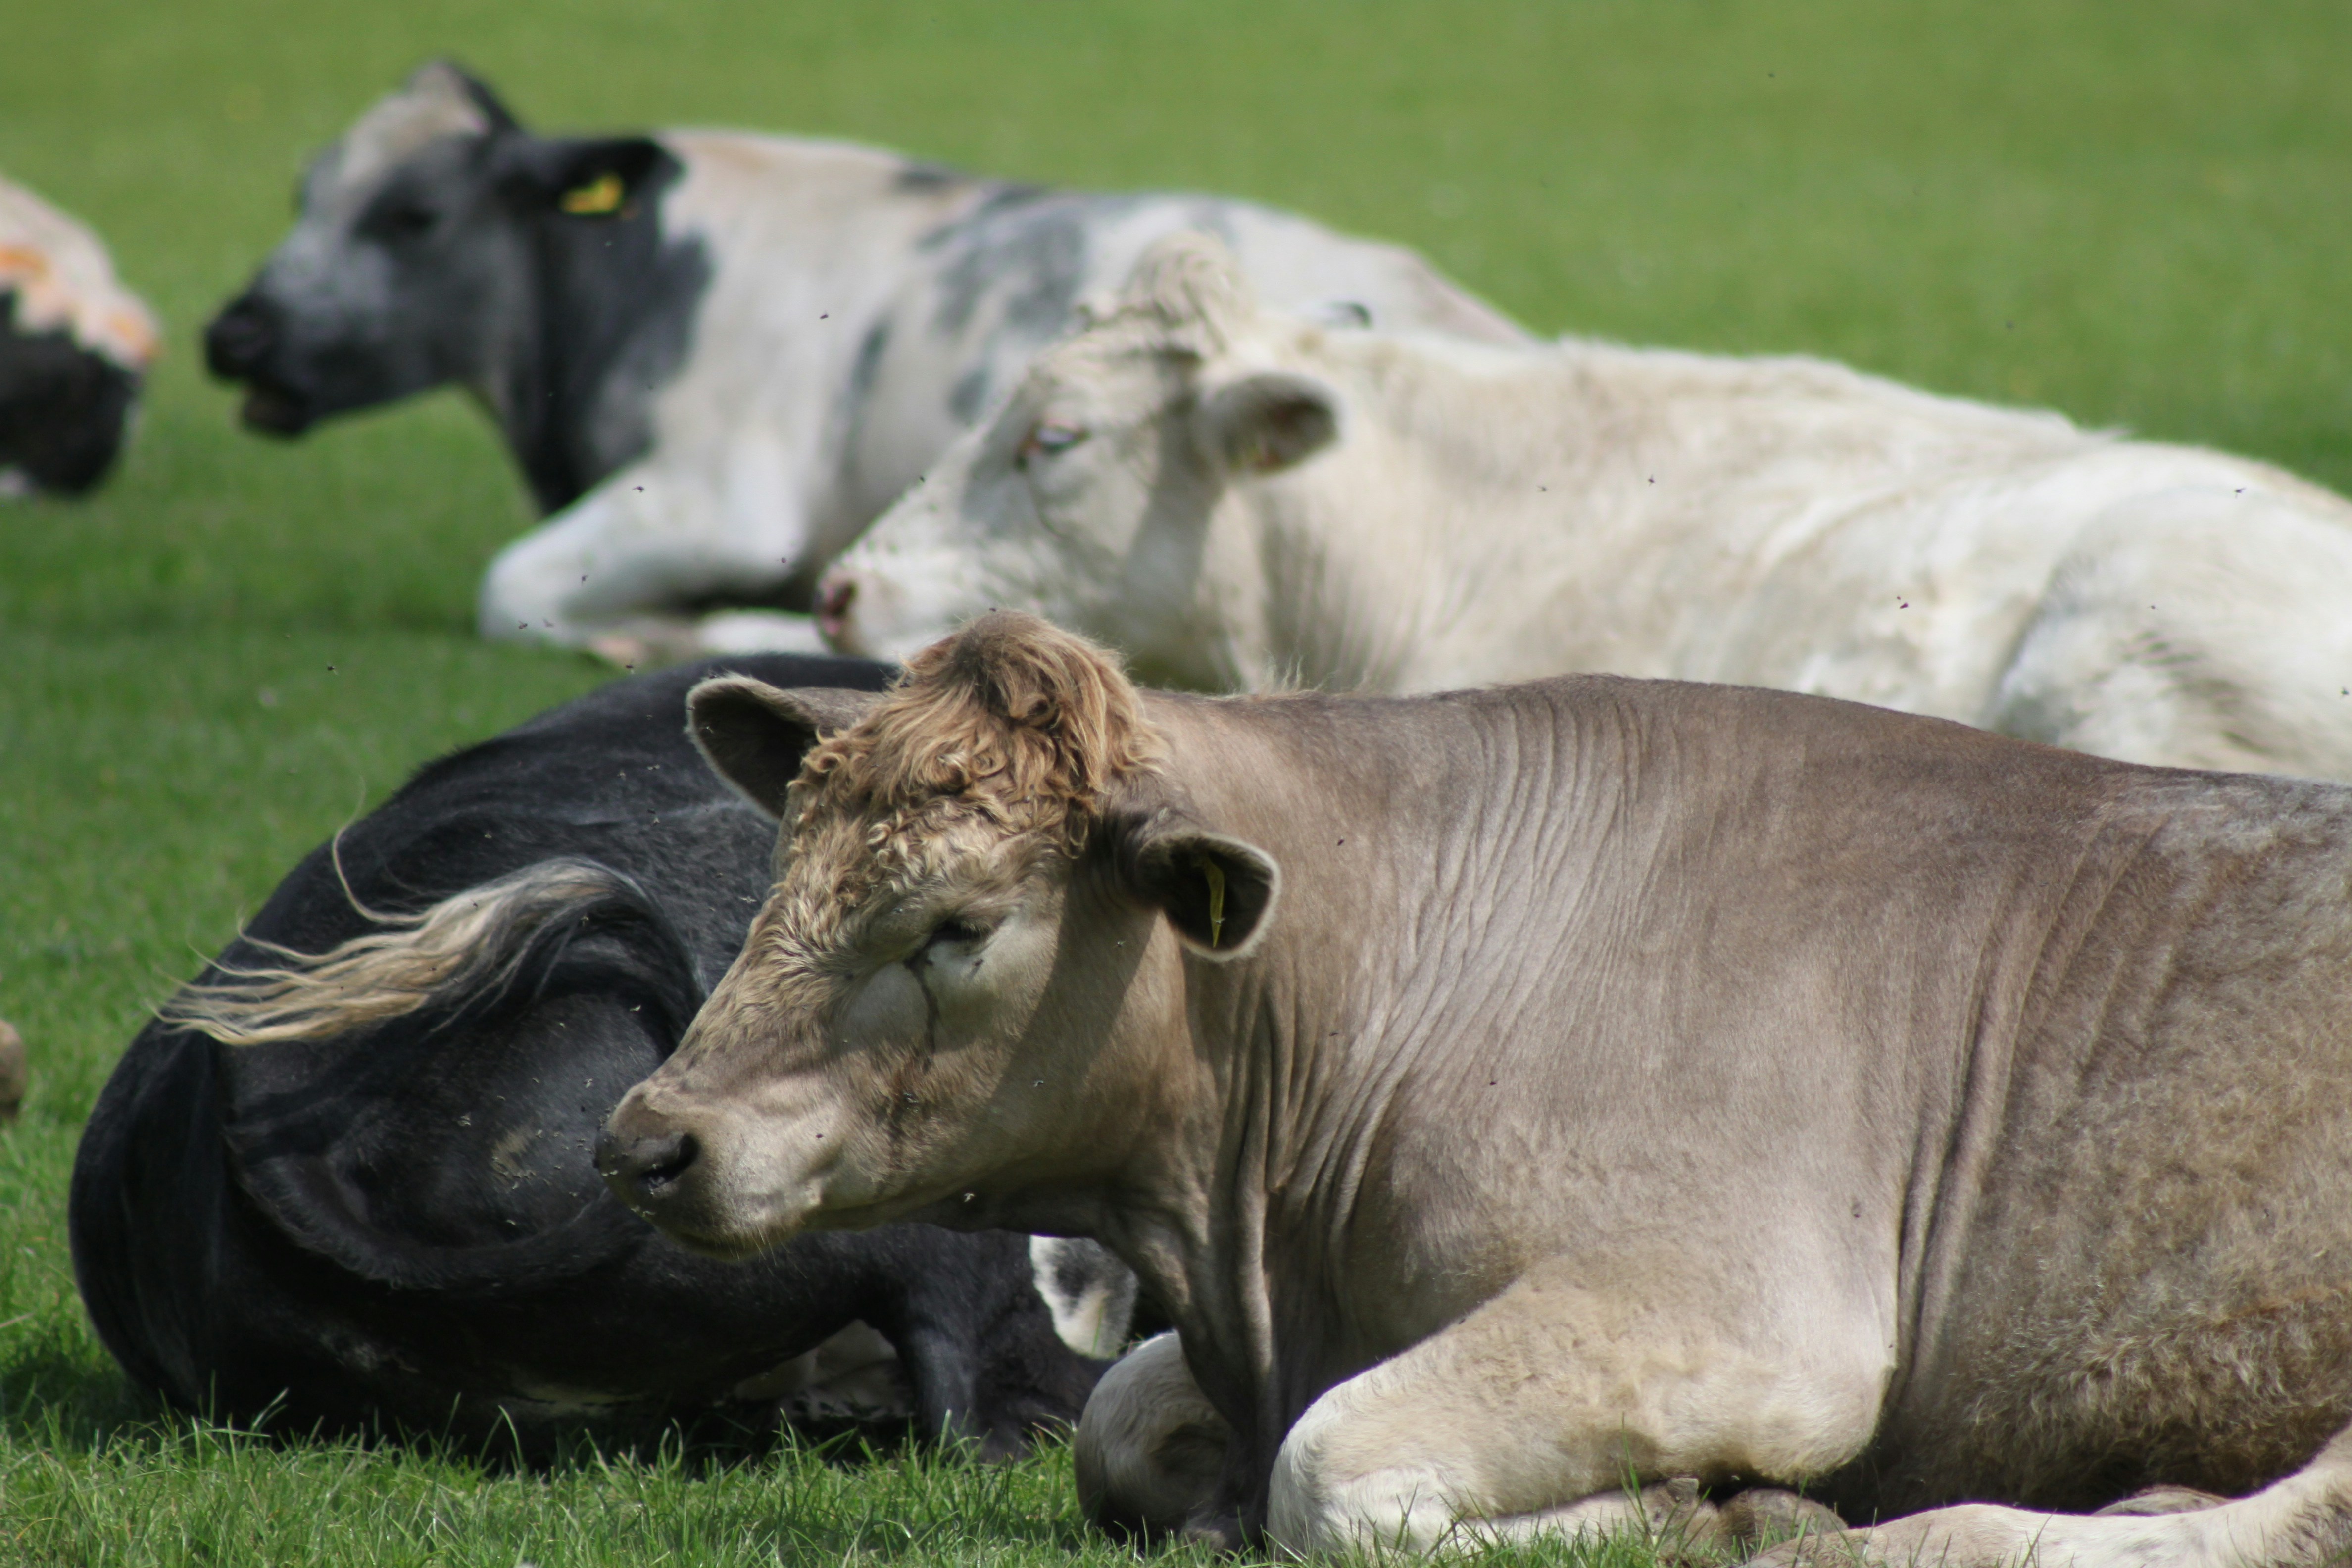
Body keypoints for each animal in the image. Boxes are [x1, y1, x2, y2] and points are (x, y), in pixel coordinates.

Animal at [202, 63, 1528, 664]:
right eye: (303, 190)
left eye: (412, 217)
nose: (233, 333)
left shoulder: (721, 497)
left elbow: (511, 584)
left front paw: (655, 632)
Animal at [599, 610, 2352, 1564]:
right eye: (783, 867)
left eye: (958, 925)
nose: (648, 1141)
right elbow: (1120, 1417)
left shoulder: (1737, 1315)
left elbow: (1332, 1471)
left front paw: (1722, 1511)